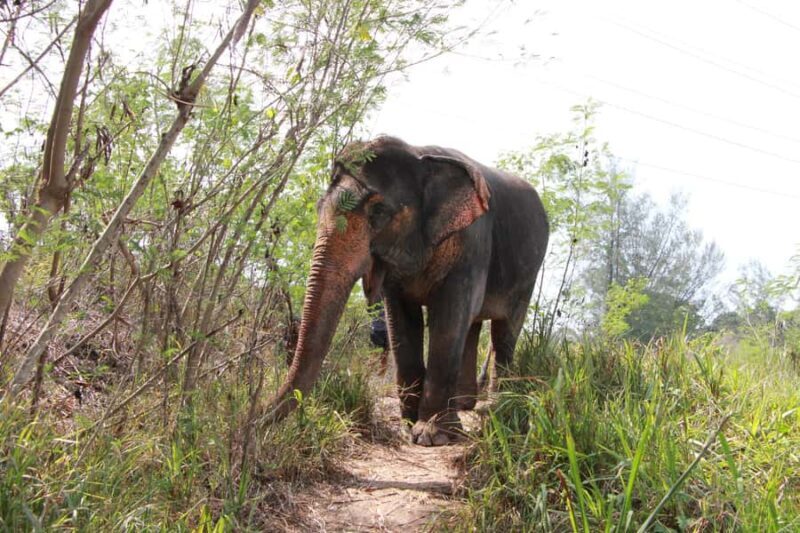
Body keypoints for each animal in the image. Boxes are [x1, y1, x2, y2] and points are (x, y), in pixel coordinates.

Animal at [265, 136, 549, 446]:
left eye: (378, 211)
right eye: (318, 208)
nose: (254, 419)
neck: (418, 154)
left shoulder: (471, 244)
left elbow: (450, 317)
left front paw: (431, 435)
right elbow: (401, 319)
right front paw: (409, 423)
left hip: (528, 275)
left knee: (504, 332)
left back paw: (496, 408)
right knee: (473, 328)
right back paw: (465, 405)